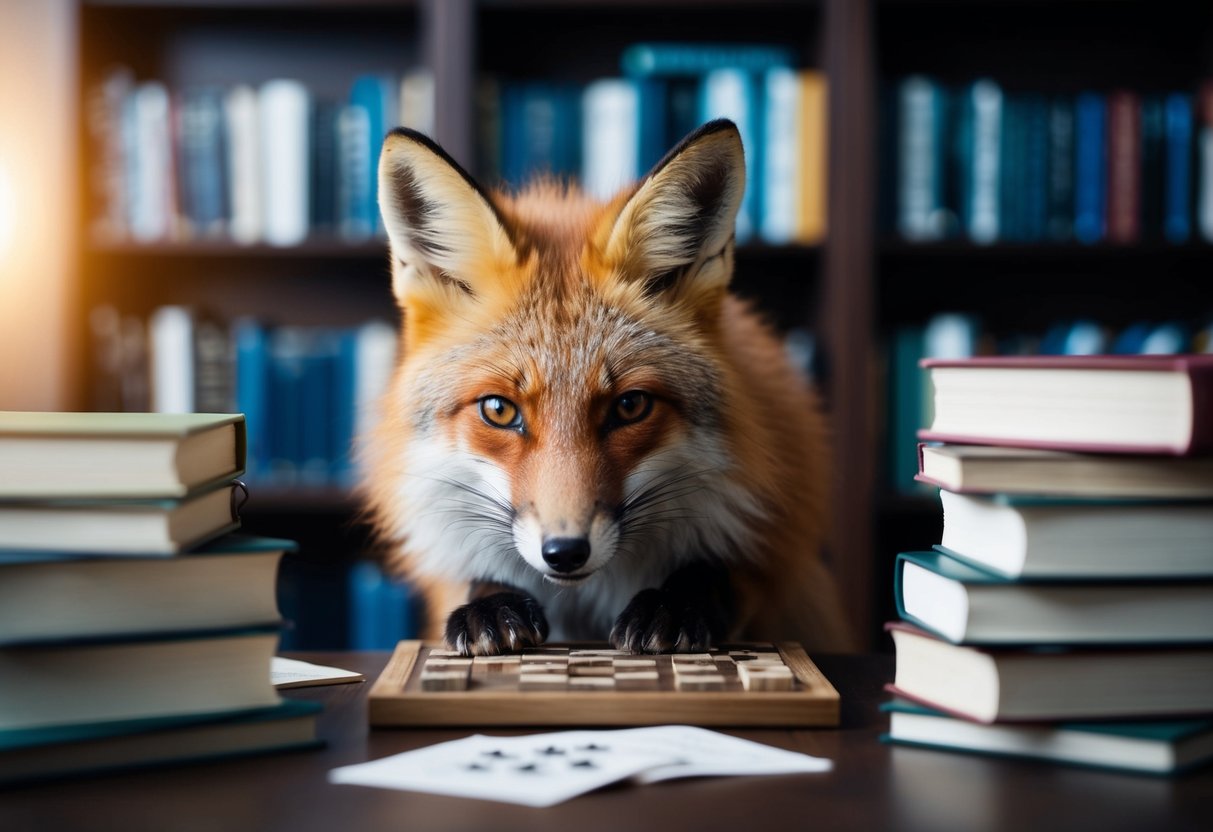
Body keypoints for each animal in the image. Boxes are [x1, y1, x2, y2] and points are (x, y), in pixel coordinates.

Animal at [362, 119, 856, 656]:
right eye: (498, 410)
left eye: (631, 406)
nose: (564, 552)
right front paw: (491, 604)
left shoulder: (777, 557)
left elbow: (723, 573)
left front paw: (674, 603)